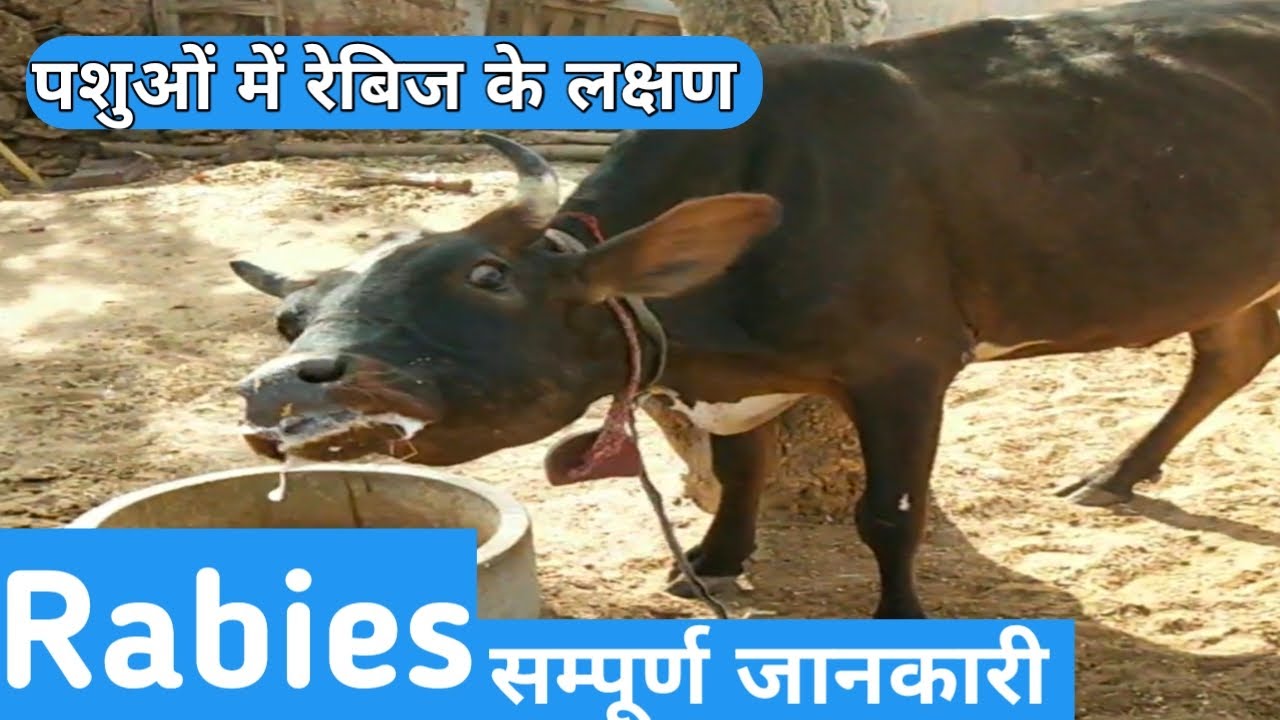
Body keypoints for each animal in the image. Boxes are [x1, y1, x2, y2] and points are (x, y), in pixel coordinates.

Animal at [228, 0, 1280, 619]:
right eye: (290, 320)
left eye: (488, 276)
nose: (283, 388)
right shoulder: (725, 385)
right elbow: (740, 470)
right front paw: (715, 558)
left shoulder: (907, 363)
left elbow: (889, 514)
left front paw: (899, 619)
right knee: (1233, 349)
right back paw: (1120, 470)